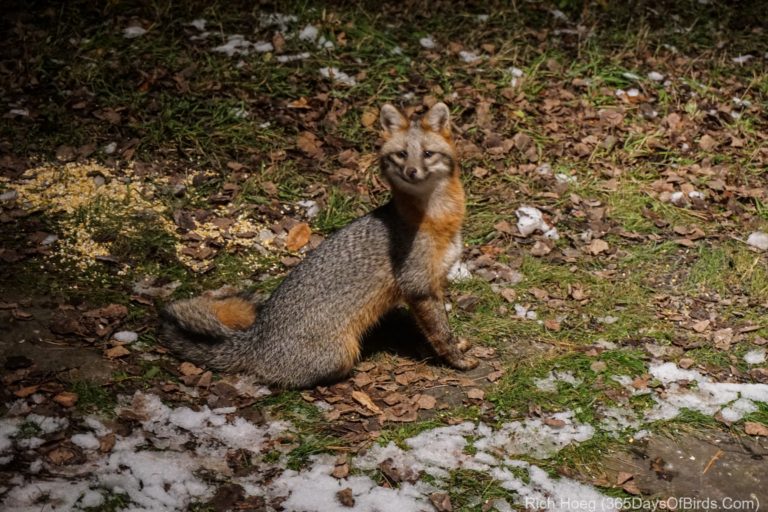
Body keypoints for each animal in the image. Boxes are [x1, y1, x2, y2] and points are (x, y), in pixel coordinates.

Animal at [160, 102, 479, 388]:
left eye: (427, 154)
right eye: (402, 155)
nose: (411, 171)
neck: (437, 220)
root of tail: (257, 338)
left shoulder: (434, 283)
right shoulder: (418, 287)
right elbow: (441, 333)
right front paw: (456, 360)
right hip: (340, 354)